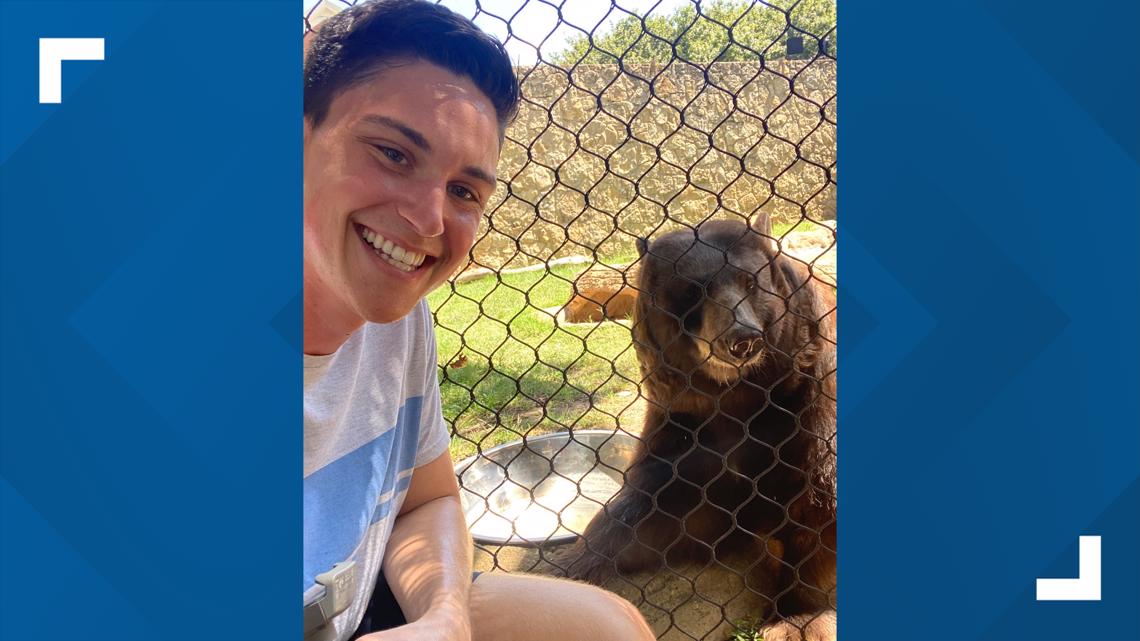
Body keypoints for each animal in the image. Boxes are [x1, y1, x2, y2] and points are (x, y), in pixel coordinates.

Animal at [562, 217, 837, 639]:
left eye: (750, 282)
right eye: (692, 290)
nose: (742, 339)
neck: (736, 395)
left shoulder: (812, 395)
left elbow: (820, 502)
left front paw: (798, 616)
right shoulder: (682, 417)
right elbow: (663, 506)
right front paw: (575, 564)